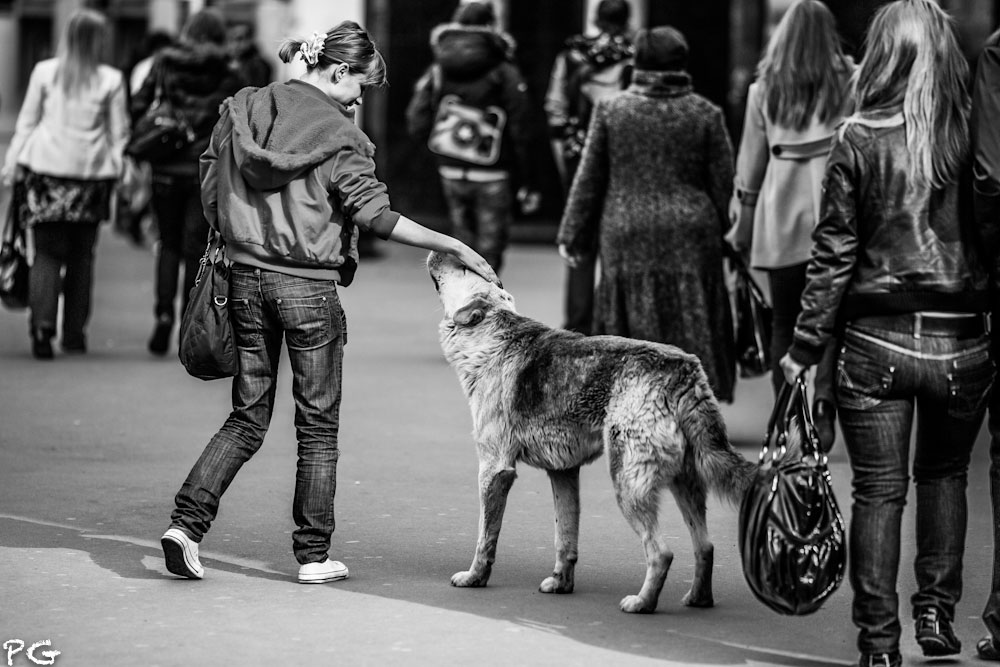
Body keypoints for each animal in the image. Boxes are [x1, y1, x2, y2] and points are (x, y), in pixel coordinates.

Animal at [424, 253, 756, 612]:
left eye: (464, 268)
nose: (437, 249)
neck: (492, 337)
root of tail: (682, 371)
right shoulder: (563, 472)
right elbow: (565, 537)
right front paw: (561, 583)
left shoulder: (494, 469)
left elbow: (485, 537)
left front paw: (475, 577)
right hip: (686, 483)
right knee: (705, 547)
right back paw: (698, 599)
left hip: (627, 482)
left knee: (662, 553)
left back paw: (642, 603)